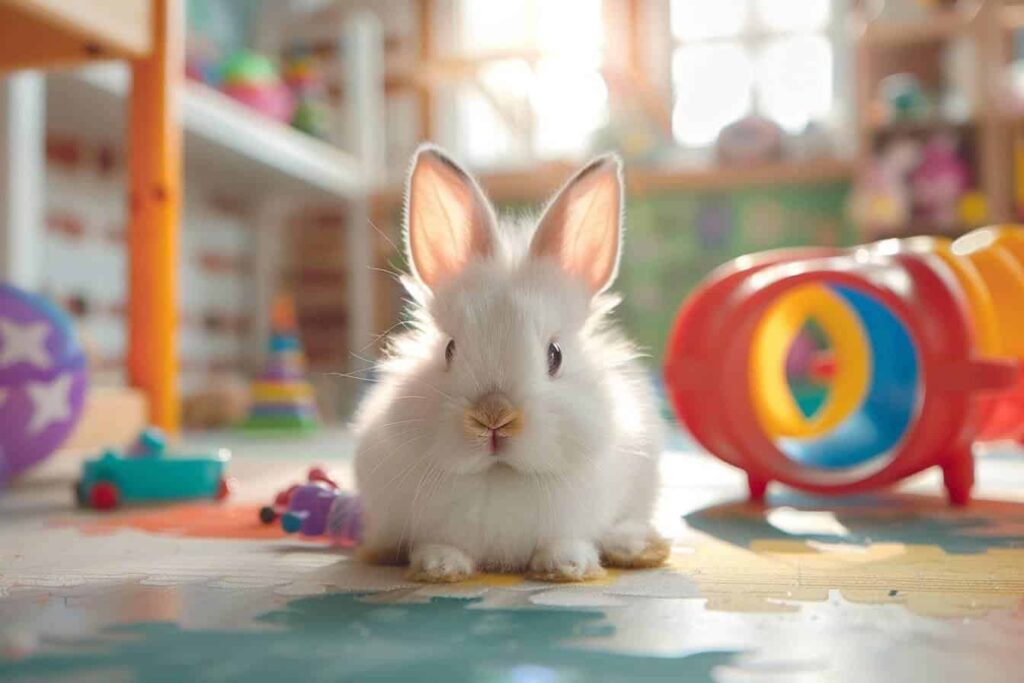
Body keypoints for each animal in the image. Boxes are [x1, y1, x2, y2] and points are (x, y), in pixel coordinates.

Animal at [353, 144, 669, 583]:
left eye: (555, 355)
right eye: (449, 349)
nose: (493, 416)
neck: (499, 475)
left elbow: (567, 540)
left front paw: (567, 565)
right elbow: (442, 544)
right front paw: (439, 567)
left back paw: (635, 546)